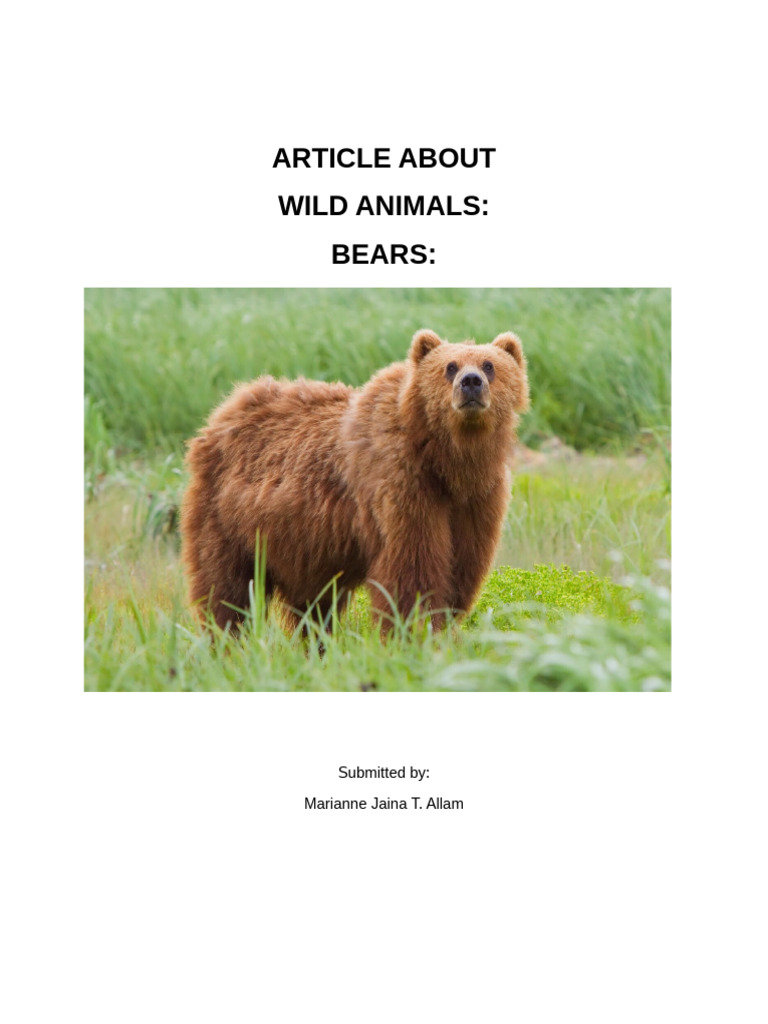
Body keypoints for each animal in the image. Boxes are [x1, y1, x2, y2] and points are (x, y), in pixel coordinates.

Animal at [181, 328, 529, 634]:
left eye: (489, 365)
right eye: (450, 366)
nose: (471, 382)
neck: (447, 461)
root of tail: (224, 411)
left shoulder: (476, 500)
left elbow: (460, 570)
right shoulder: (402, 485)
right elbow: (412, 572)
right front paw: (413, 631)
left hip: (303, 546)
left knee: (314, 606)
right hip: (228, 519)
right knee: (227, 589)